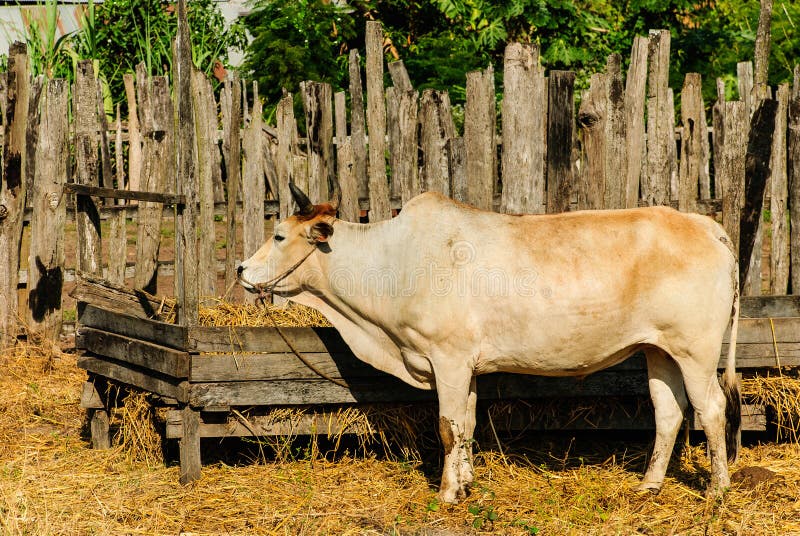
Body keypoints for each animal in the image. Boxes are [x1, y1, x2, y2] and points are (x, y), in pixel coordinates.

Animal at [237, 182, 741, 503]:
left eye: (278, 235)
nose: (241, 269)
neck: (396, 261)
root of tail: (707, 226)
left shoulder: (448, 358)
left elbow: (447, 427)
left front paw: (446, 494)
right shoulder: (467, 366)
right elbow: (467, 425)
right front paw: (466, 483)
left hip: (697, 350)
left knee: (712, 408)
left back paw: (716, 490)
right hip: (660, 350)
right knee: (669, 412)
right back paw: (648, 486)